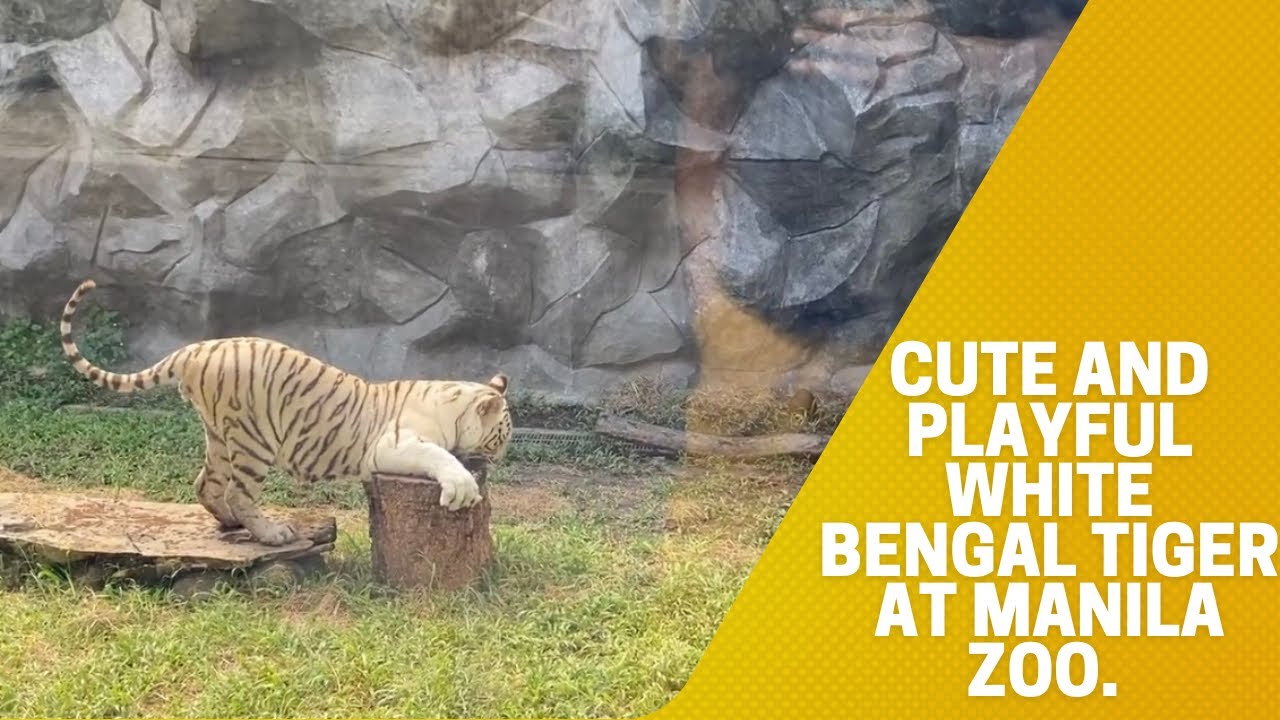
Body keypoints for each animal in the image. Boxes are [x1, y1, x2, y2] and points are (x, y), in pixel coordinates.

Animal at [59, 279, 513, 546]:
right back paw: (272, 533)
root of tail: (194, 349)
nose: (499, 458)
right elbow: (439, 455)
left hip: (219, 436)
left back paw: (232, 525)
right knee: (237, 492)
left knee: (206, 484)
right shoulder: (393, 445)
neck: (451, 401)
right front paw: (462, 488)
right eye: (502, 435)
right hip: (252, 438)